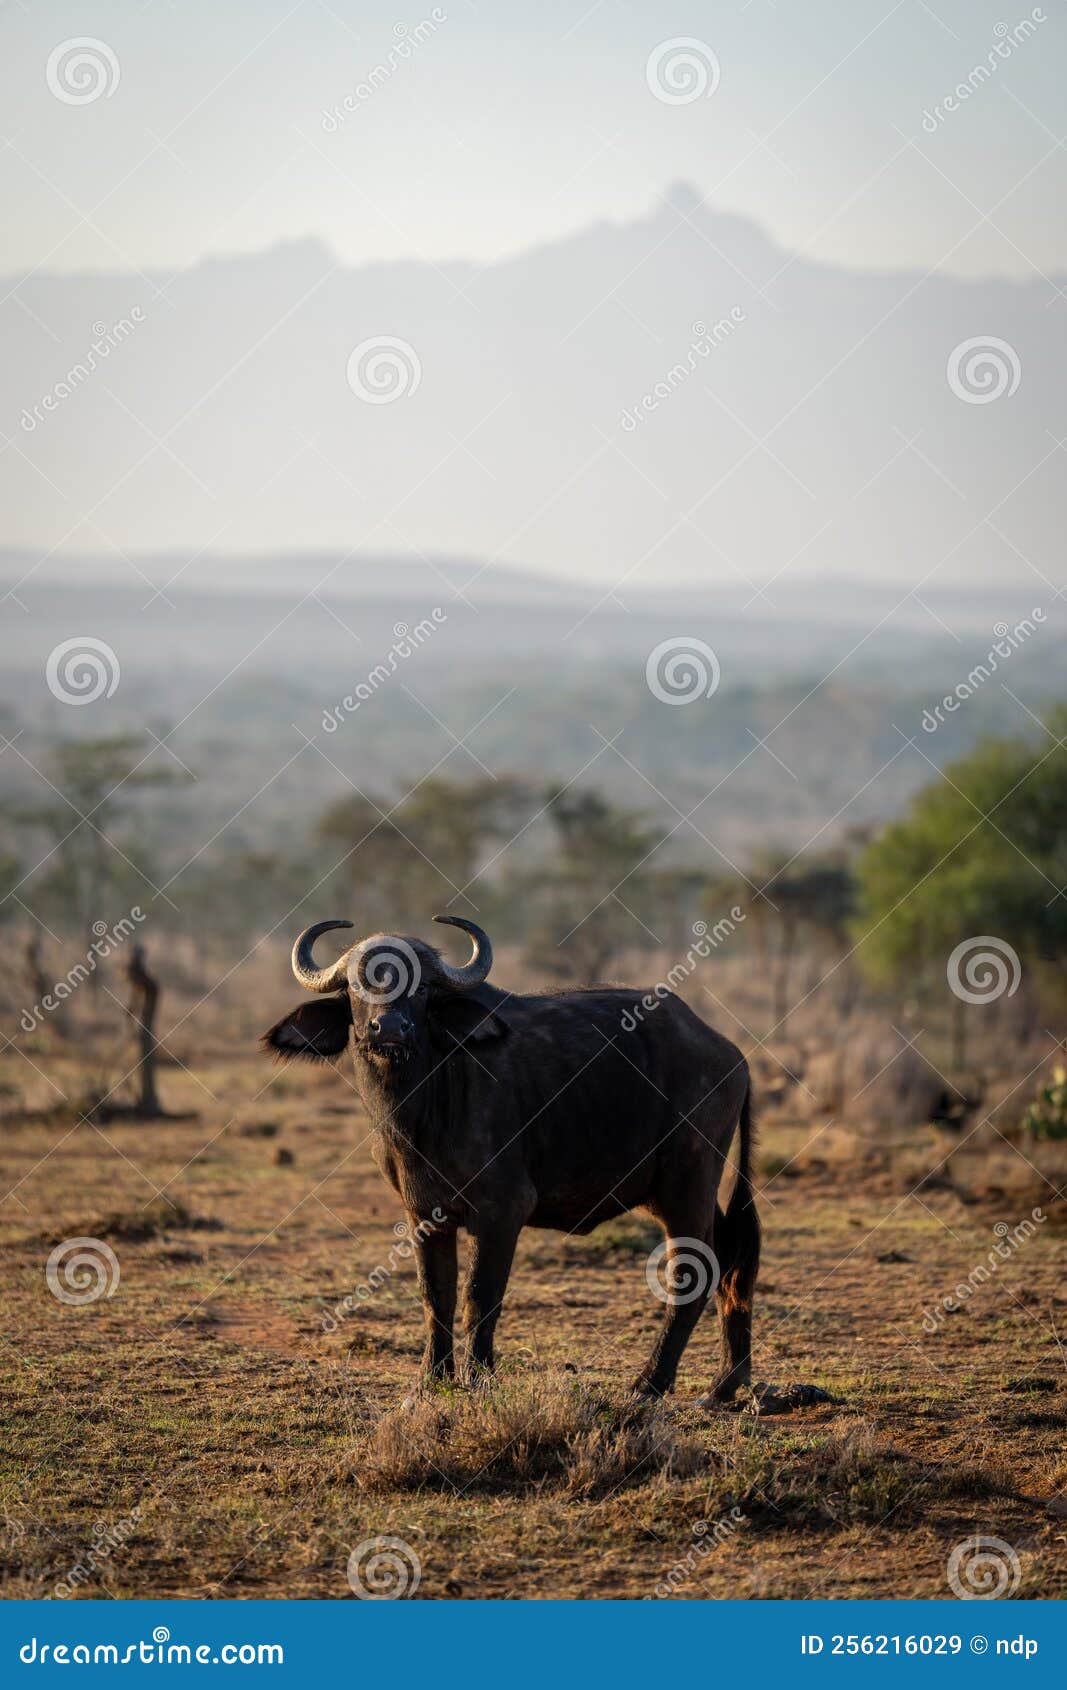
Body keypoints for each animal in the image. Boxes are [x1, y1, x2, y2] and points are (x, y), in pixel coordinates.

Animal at [262, 916, 759, 1402]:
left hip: (687, 1185)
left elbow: (480, 1298)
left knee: (694, 1274)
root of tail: (730, 1053)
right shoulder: (423, 1215)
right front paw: (429, 1382)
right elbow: (435, 1297)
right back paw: (725, 1382)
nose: (390, 1029)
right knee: (732, 1261)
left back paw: (650, 1384)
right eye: (356, 986)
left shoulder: (501, 1212)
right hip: (680, 1192)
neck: (421, 1110)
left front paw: (479, 1378)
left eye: (421, 989)